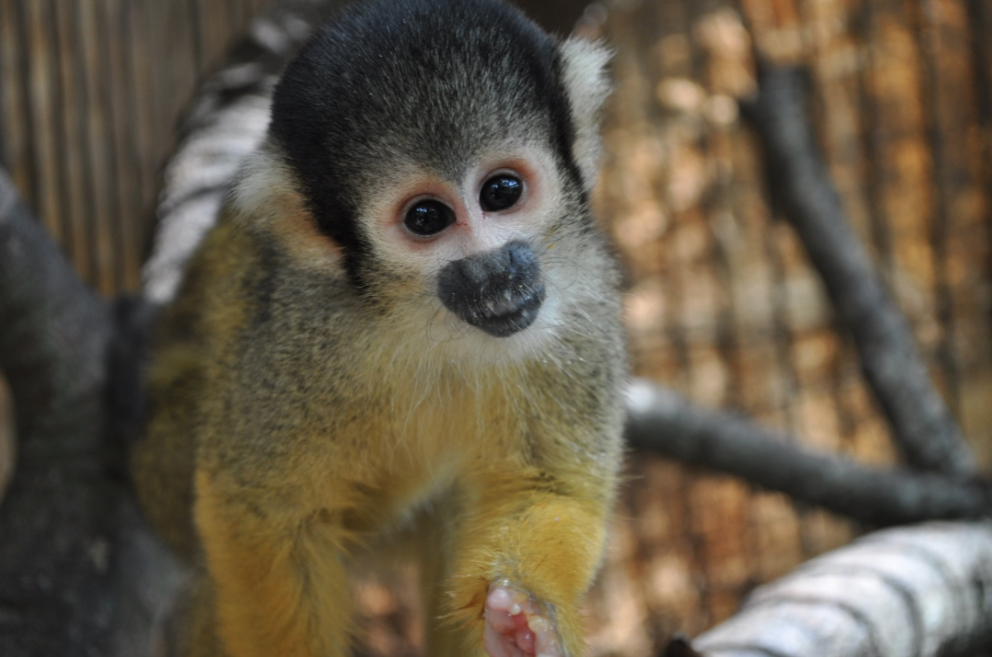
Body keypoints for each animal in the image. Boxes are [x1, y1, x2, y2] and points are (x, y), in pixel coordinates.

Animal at [131, 0, 626, 655]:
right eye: (426, 218)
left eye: (502, 191)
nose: (494, 273)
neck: (430, 322)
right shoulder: (300, 331)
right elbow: (261, 510)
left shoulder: (583, 298)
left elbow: (551, 485)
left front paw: (527, 621)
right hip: (162, 466)